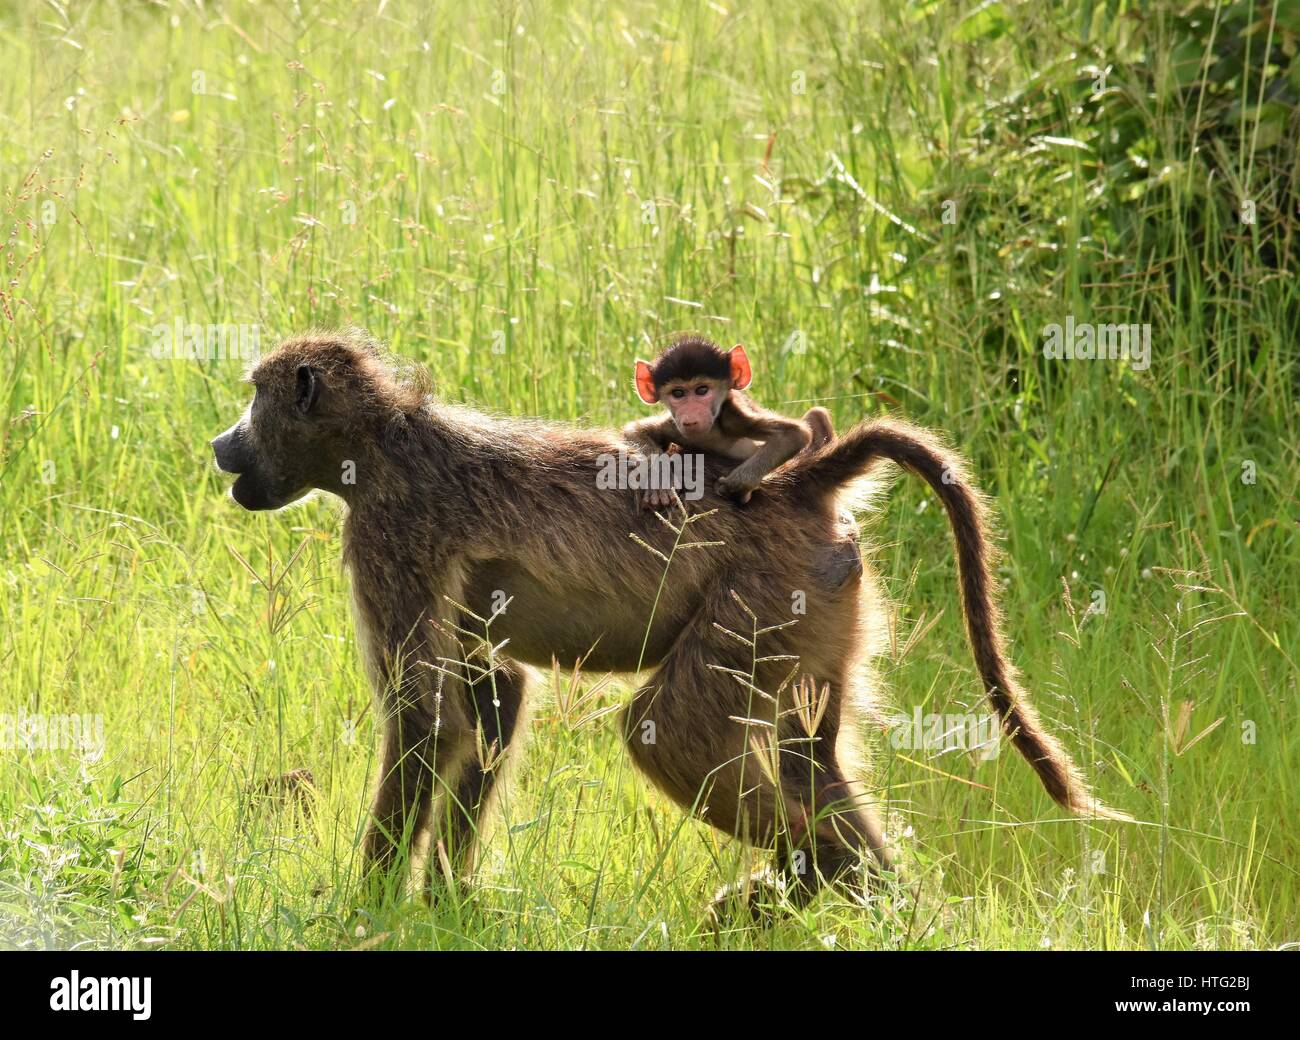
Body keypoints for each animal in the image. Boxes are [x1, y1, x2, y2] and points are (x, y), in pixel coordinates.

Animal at [623, 335, 834, 507]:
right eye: (678, 393)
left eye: (702, 390)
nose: (690, 417)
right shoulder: (676, 426)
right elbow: (636, 429)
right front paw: (659, 482)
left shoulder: (734, 418)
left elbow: (794, 434)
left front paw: (735, 486)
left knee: (816, 415)